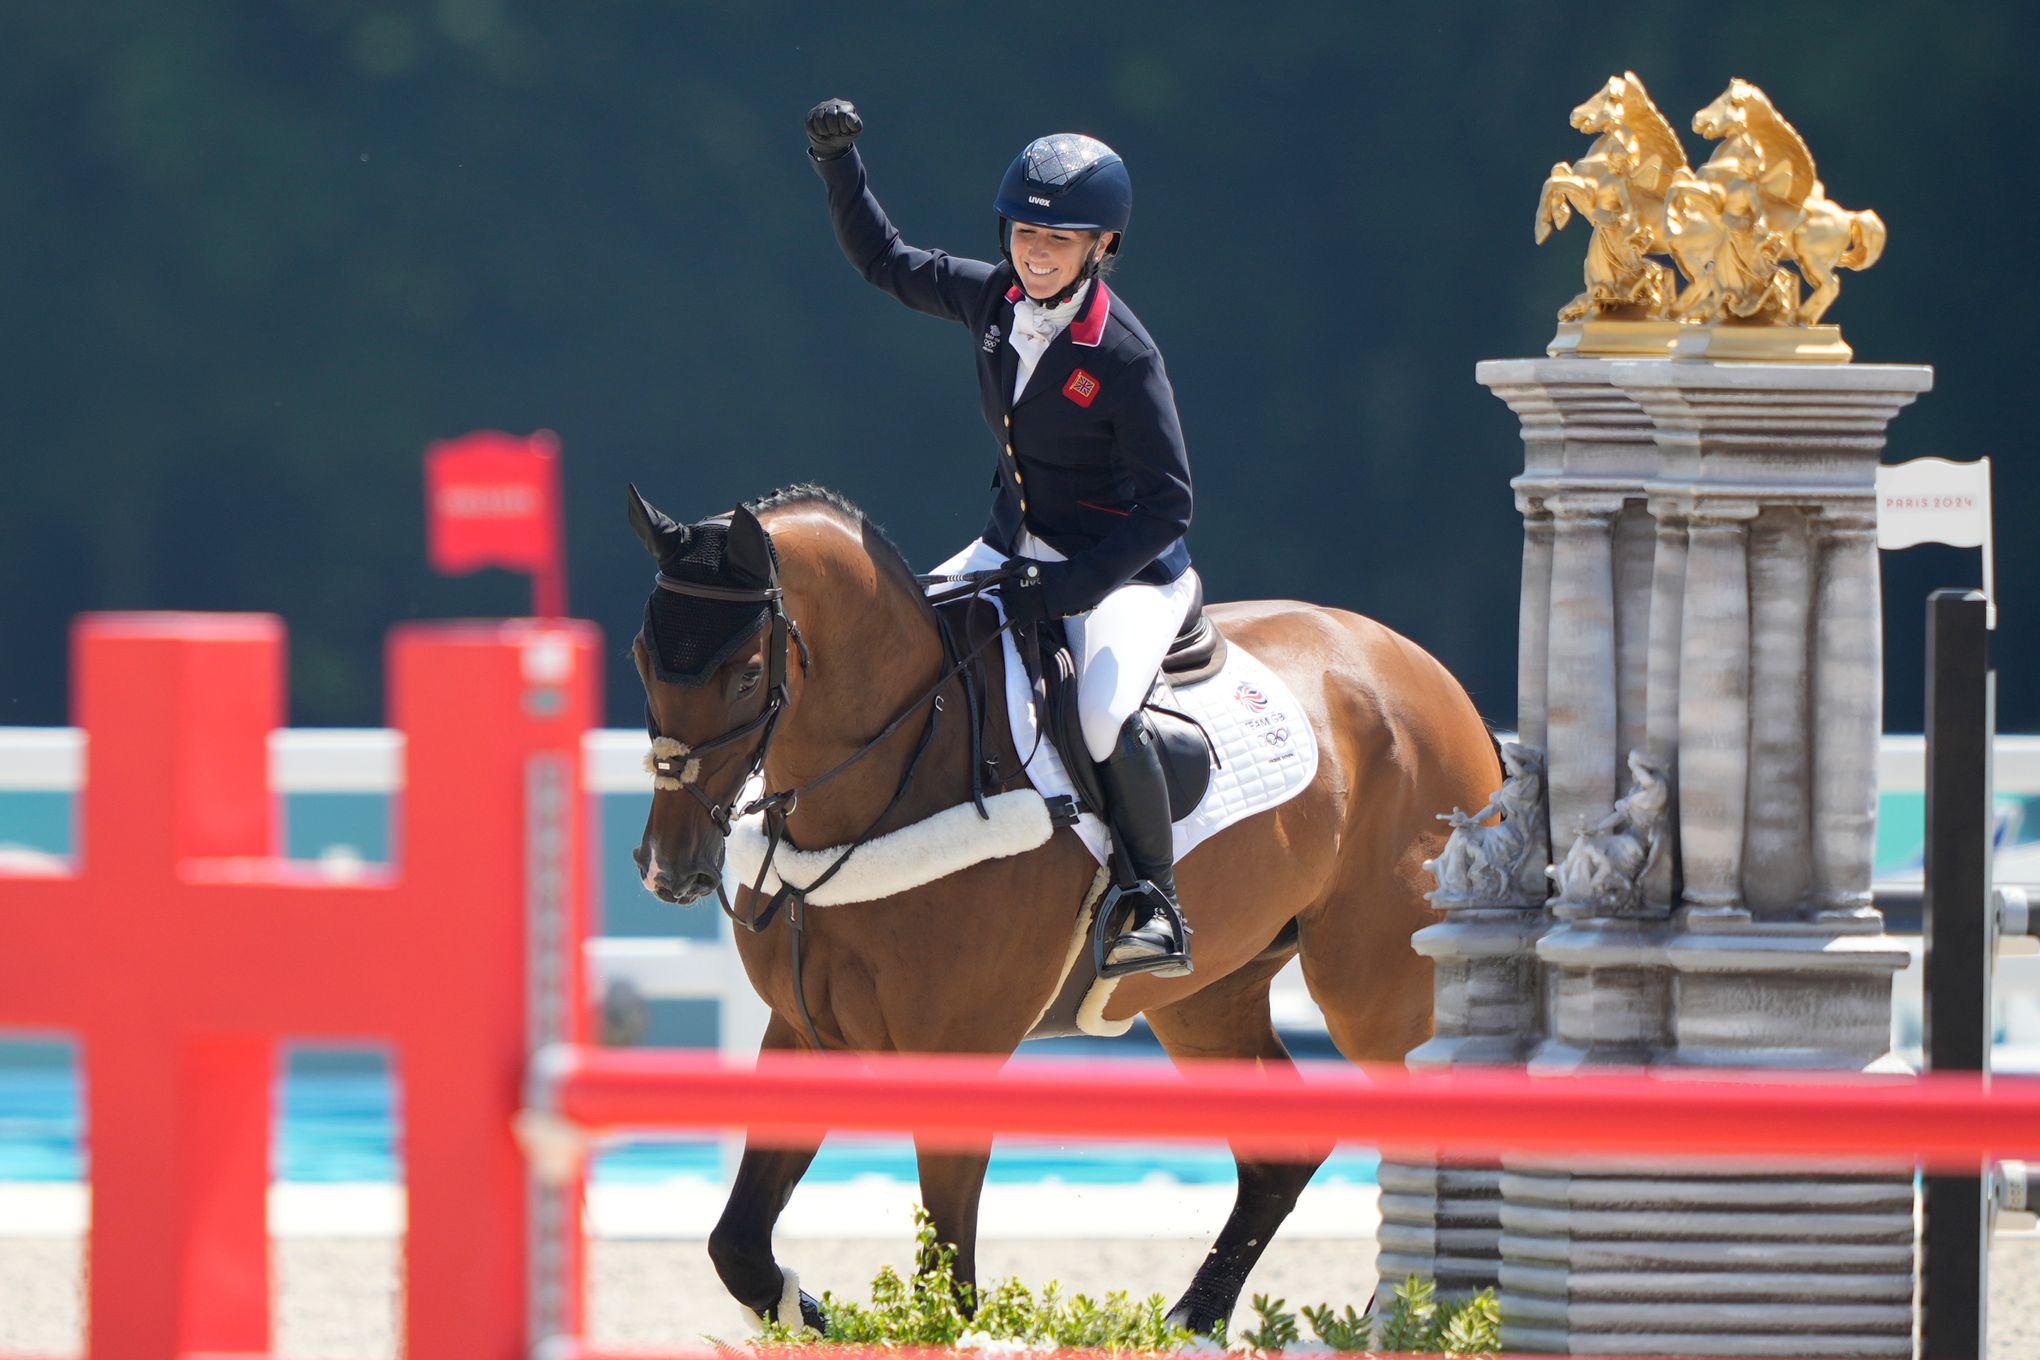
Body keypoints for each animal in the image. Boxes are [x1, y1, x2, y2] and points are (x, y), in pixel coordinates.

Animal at [626, 482, 1500, 1334]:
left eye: (745, 675)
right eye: (640, 658)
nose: (670, 867)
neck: (886, 789)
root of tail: (1432, 678)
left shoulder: (960, 1051)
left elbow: (952, 1288)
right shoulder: (807, 1032)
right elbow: (738, 1243)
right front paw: (808, 1312)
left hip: (1375, 992)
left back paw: (1418, 1316)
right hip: (1208, 997)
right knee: (1283, 1152)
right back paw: (1195, 1321)